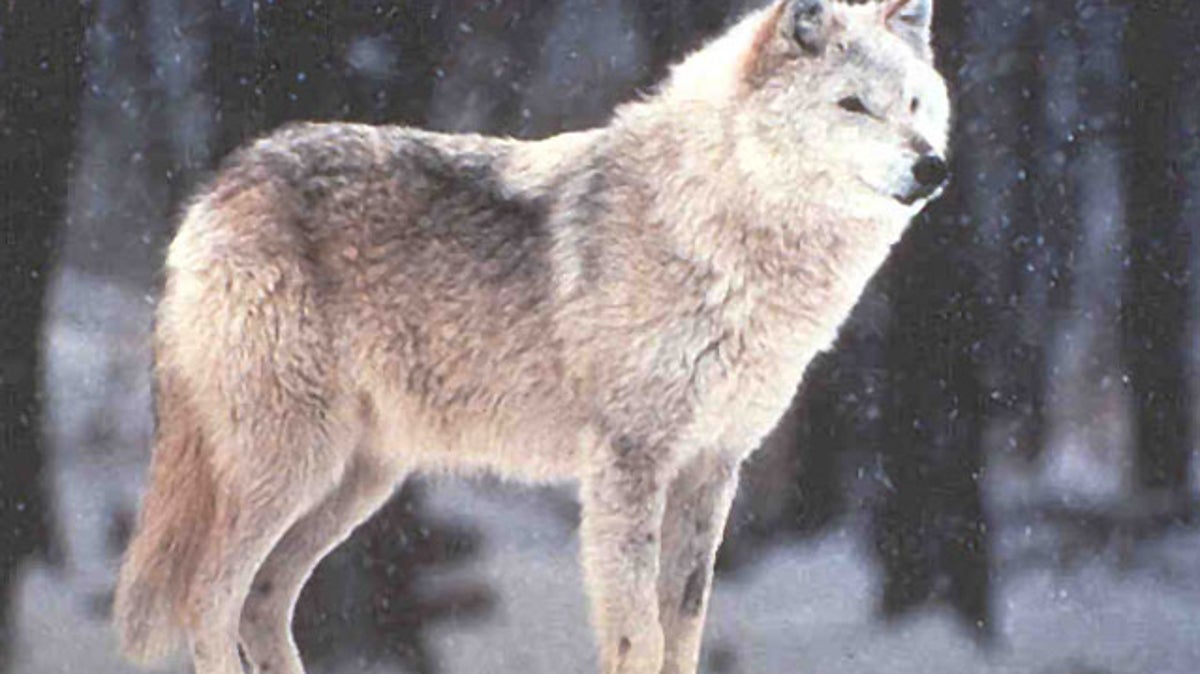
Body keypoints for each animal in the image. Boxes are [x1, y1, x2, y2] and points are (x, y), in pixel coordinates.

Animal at [112, 0, 949, 672]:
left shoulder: (712, 466)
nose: (934, 166)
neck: (721, 232)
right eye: (853, 105)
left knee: (262, 602)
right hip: (292, 467)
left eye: (914, 104)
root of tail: (217, 186)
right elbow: (640, 636)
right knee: (208, 598)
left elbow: (683, 632)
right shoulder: (627, 461)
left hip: (356, 484)